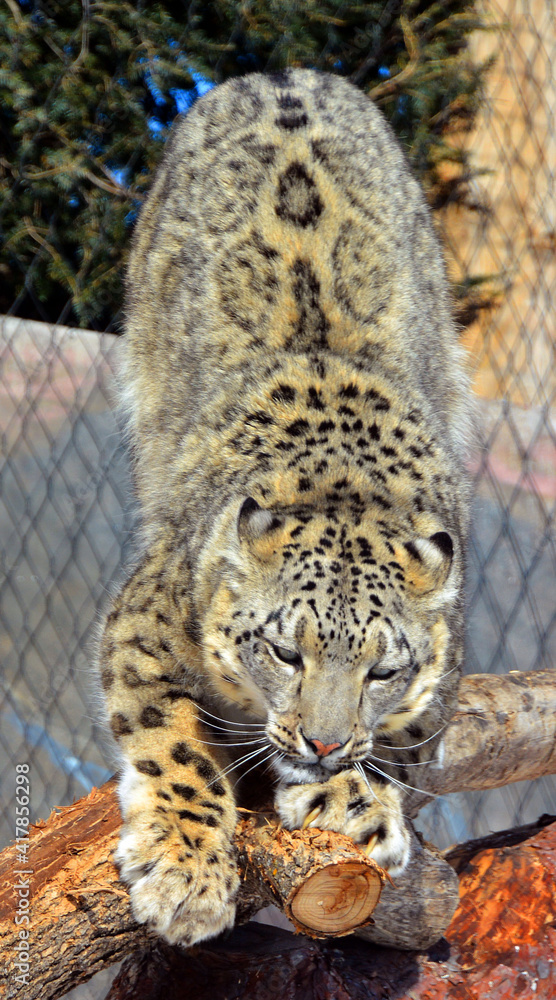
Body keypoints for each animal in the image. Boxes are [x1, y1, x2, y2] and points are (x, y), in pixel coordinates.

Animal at [99, 68, 473, 948]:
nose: (323, 739)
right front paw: (186, 880)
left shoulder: (435, 691)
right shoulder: (145, 620)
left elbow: (402, 749)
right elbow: (174, 747)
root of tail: (283, 74)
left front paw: (353, 800)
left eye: (383, 667)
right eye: (284, 650)